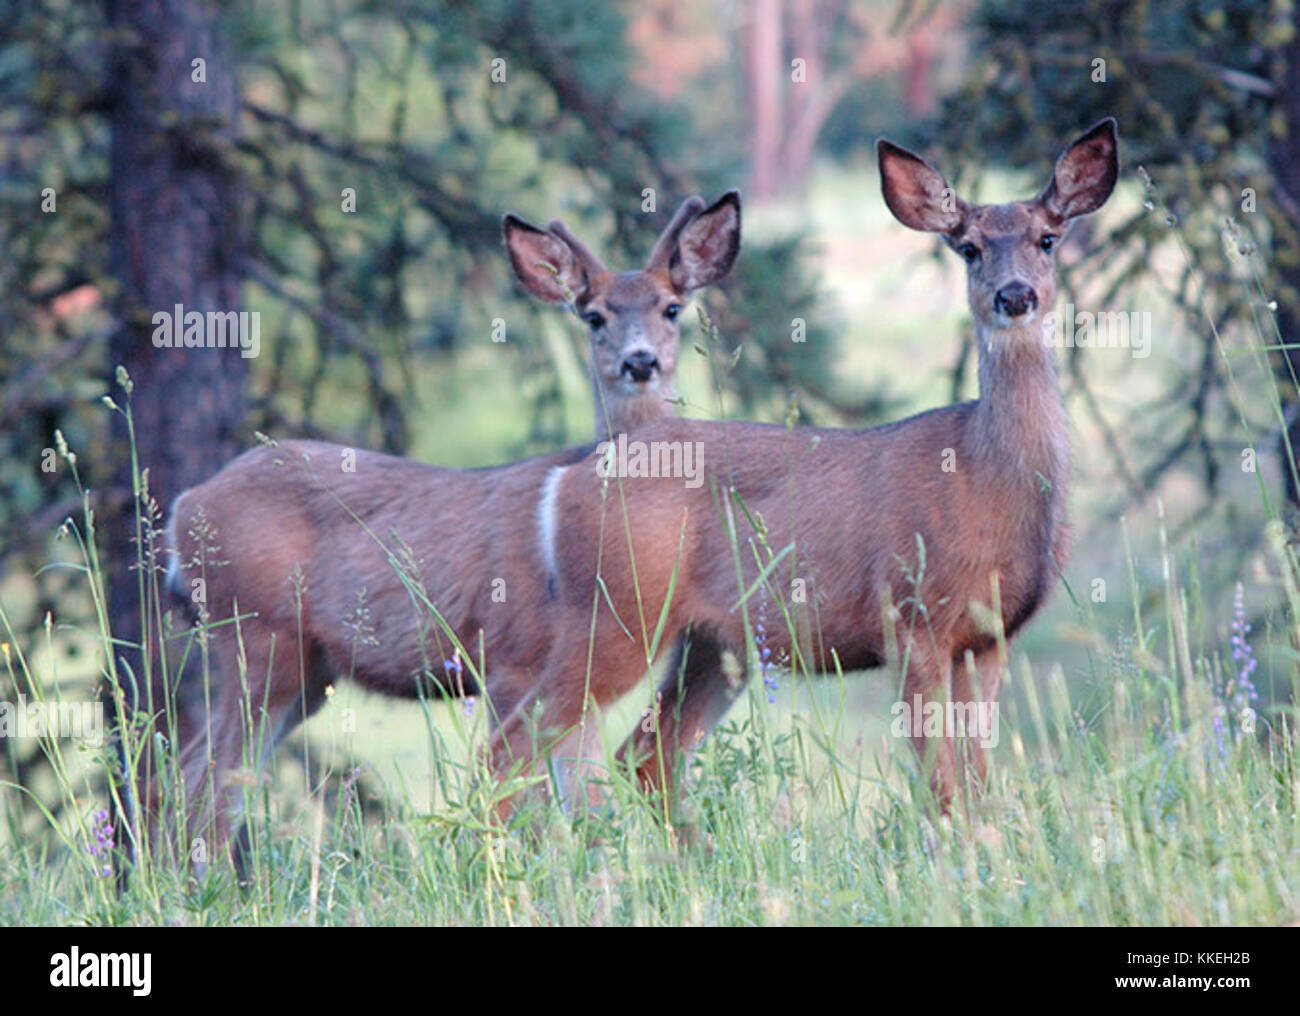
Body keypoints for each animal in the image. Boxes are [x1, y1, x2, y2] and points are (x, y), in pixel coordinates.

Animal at [163, 191, 741, 854]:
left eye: (672, 308)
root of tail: (183, 509)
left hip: (307, 667)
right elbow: (531, 795)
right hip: (257, 637)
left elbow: (583, 799)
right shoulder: (512, 658)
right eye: (593, 316)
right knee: (200, 780)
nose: (640, 361)